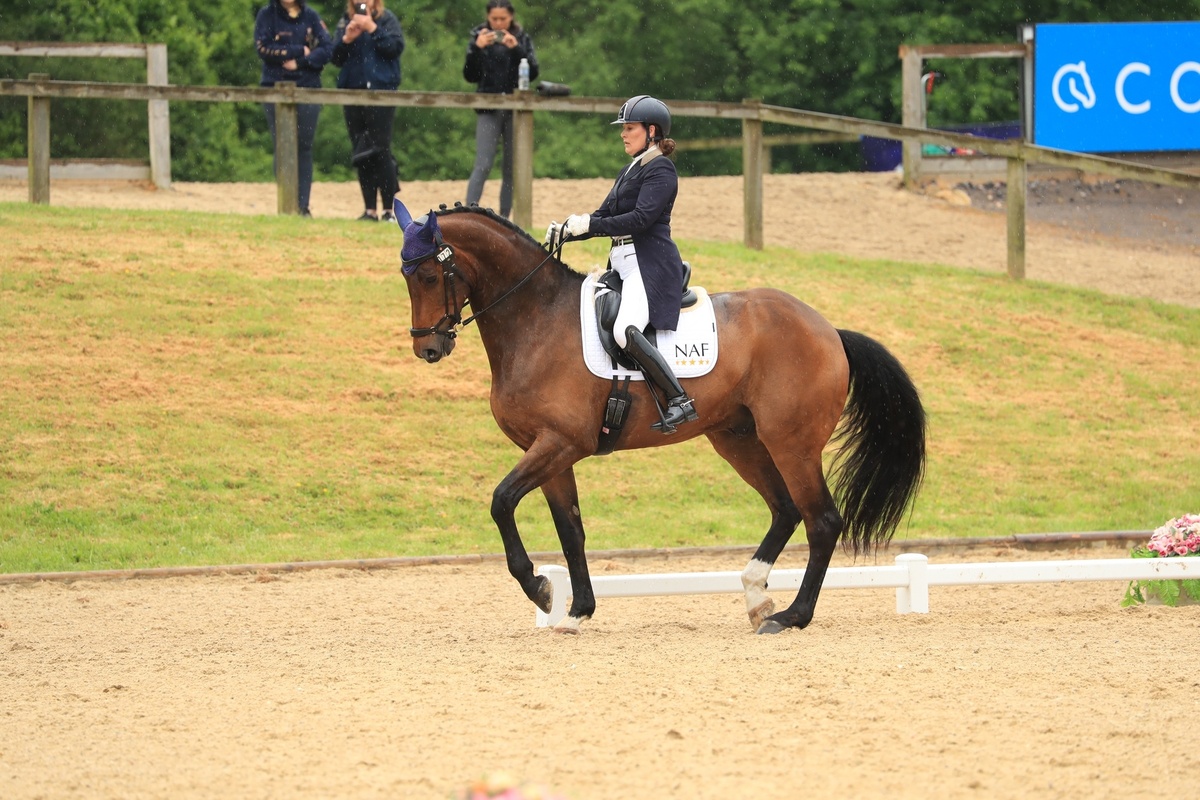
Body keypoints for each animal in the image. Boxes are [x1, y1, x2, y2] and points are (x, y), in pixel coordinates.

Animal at [392, 200, 926, 635]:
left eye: (429, 276)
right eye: (406, 277)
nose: (428, 348)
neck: (536, 319)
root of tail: (828, 330)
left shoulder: (562, 443)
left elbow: (501, 502)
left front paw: (540, 589)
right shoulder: (548, 450)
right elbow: (571, 530)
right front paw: (576, 610)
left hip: (791, 442)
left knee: (822, 521)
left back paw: (792, 616)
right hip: (737, 438)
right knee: (786, 510)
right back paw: (757, 596)